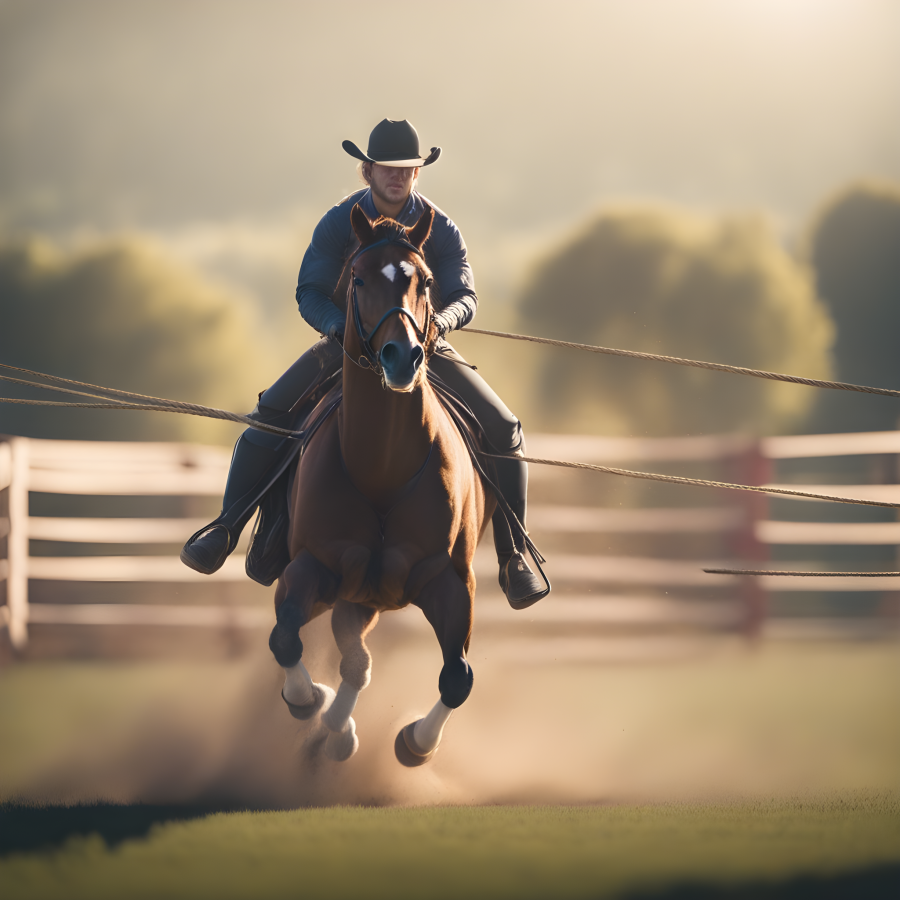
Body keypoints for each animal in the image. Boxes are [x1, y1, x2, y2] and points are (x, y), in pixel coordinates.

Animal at [267, 203, 497, 765]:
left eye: (427, 281)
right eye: (359, 277)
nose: (401, 356)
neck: (382, 470)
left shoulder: (451, 583)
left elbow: (457, 678)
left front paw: (415, 744)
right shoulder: (312, 567)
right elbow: (285, 639)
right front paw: (307, 700)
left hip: (365, 596)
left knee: (358, 660)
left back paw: (340, 730)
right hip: (349, 591)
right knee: (350, 658)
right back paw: (333, 723)